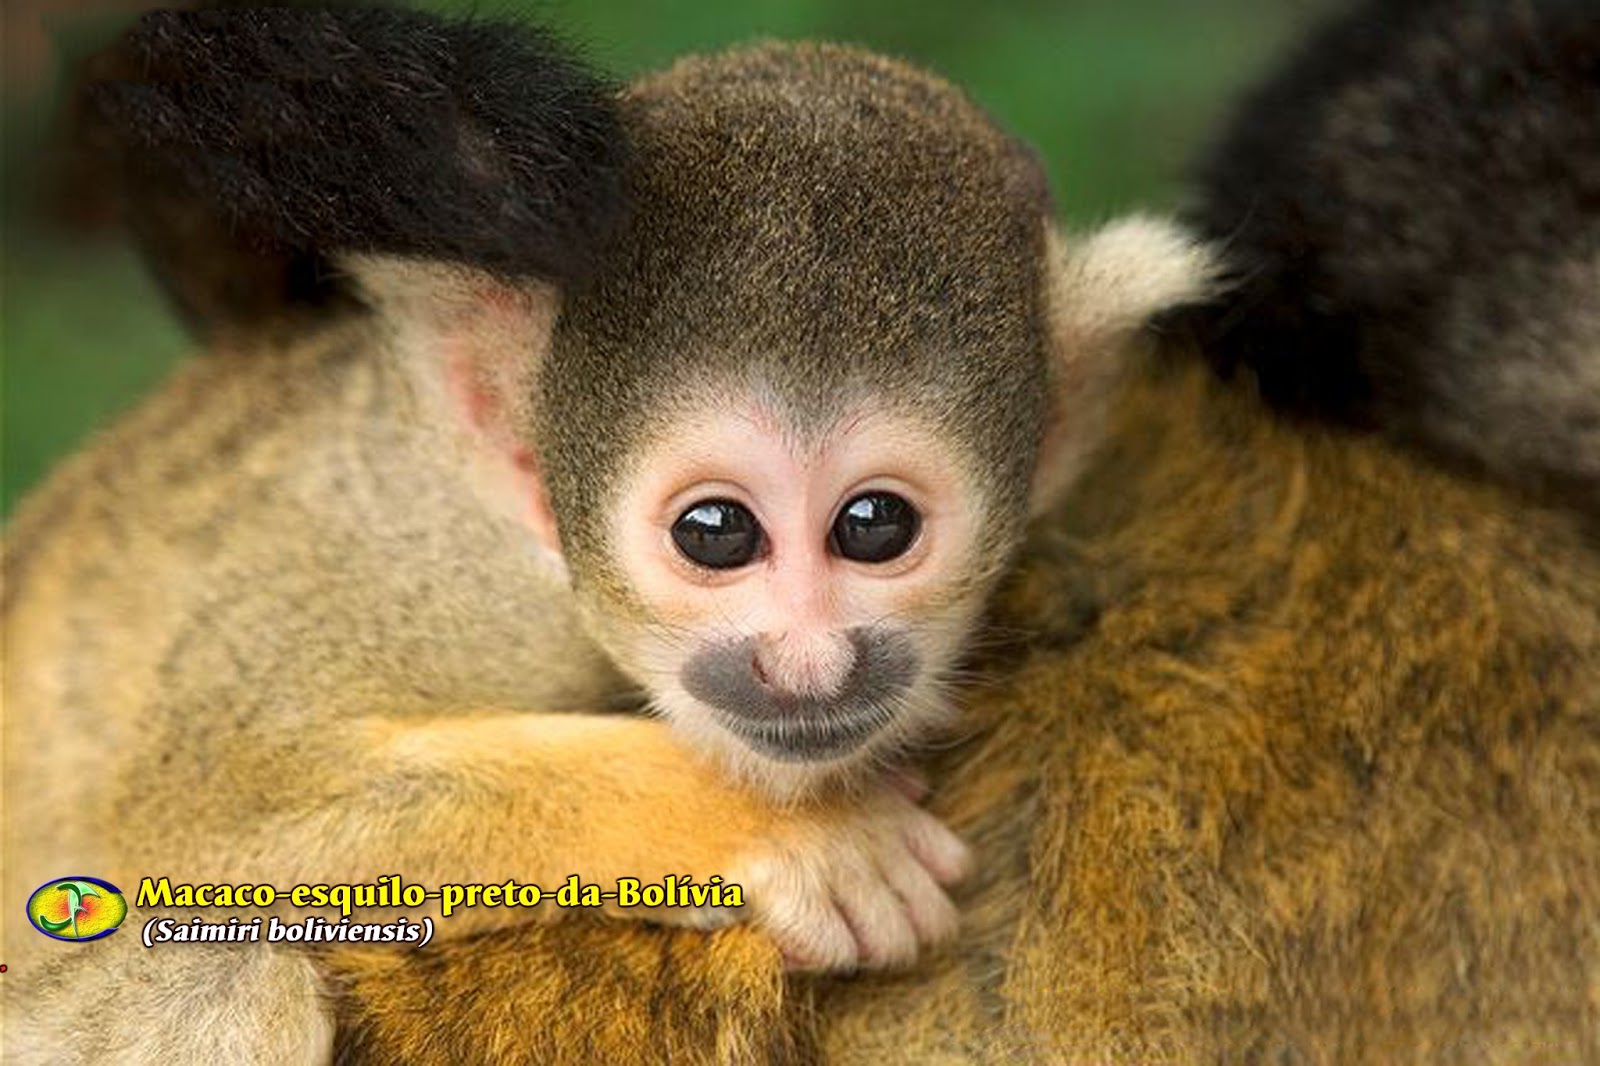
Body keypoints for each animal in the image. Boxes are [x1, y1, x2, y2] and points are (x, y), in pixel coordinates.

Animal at [2, 5, 1220, 1061]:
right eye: (716, 533)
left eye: (874, 525)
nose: (808, 665)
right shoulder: (425, 578)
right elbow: (212, 817)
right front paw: (764, 830)